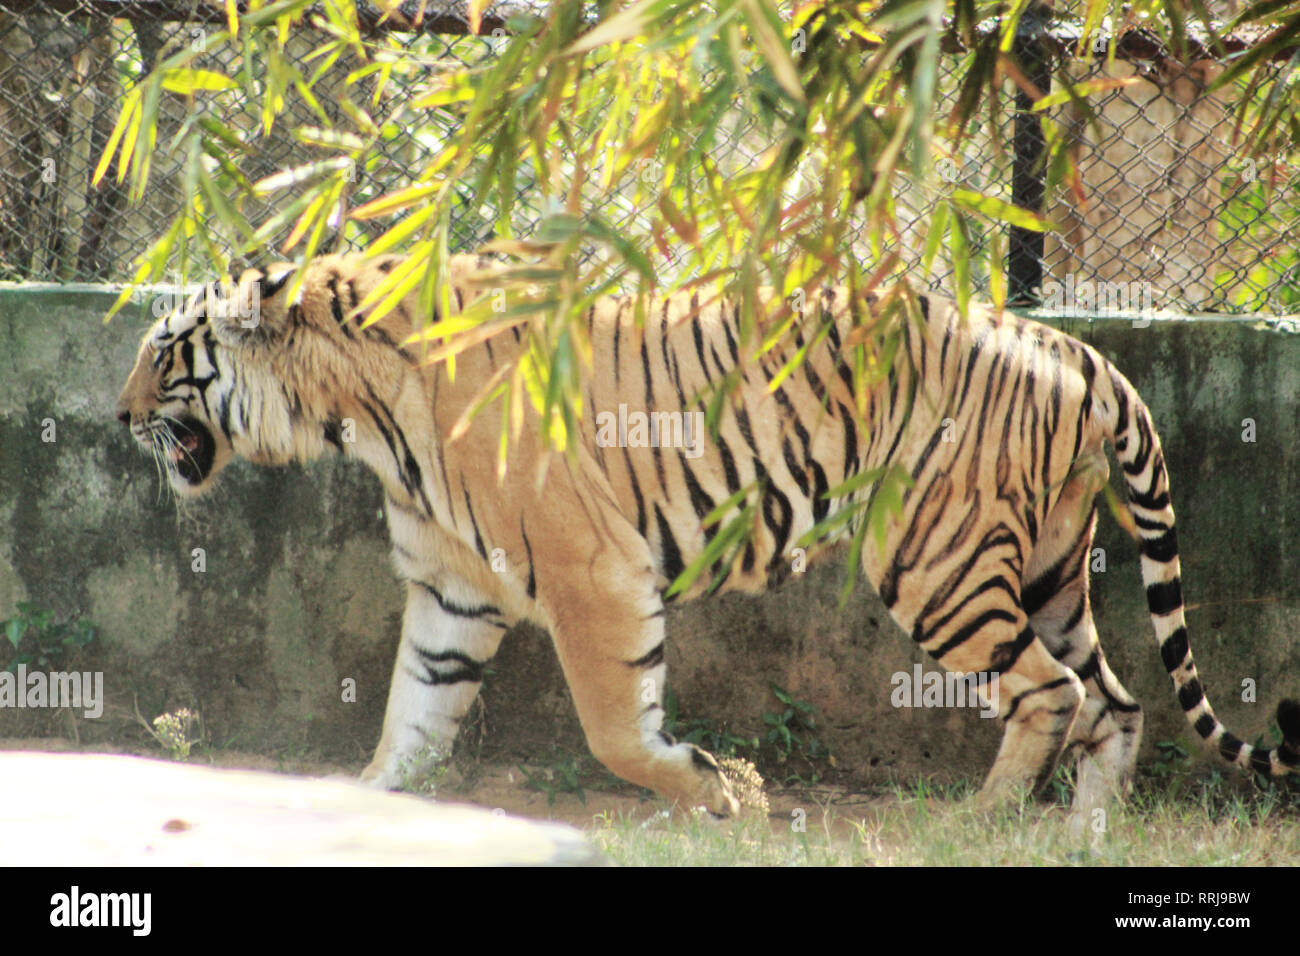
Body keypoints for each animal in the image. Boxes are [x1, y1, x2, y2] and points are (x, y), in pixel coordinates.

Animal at [115, 251, 1300, 817]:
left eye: (165, 349)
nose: (116, 418)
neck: (350, 411)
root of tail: (1080, 348)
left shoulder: (593, 571)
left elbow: (616, 730)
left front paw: (724, 792)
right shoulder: (456, 589)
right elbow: (411, 716)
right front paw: (371, 808)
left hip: (937, 561)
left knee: (1050, 694)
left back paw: (983, 825)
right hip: (1051, 569)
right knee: (1116, 703)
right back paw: (1074, 838)